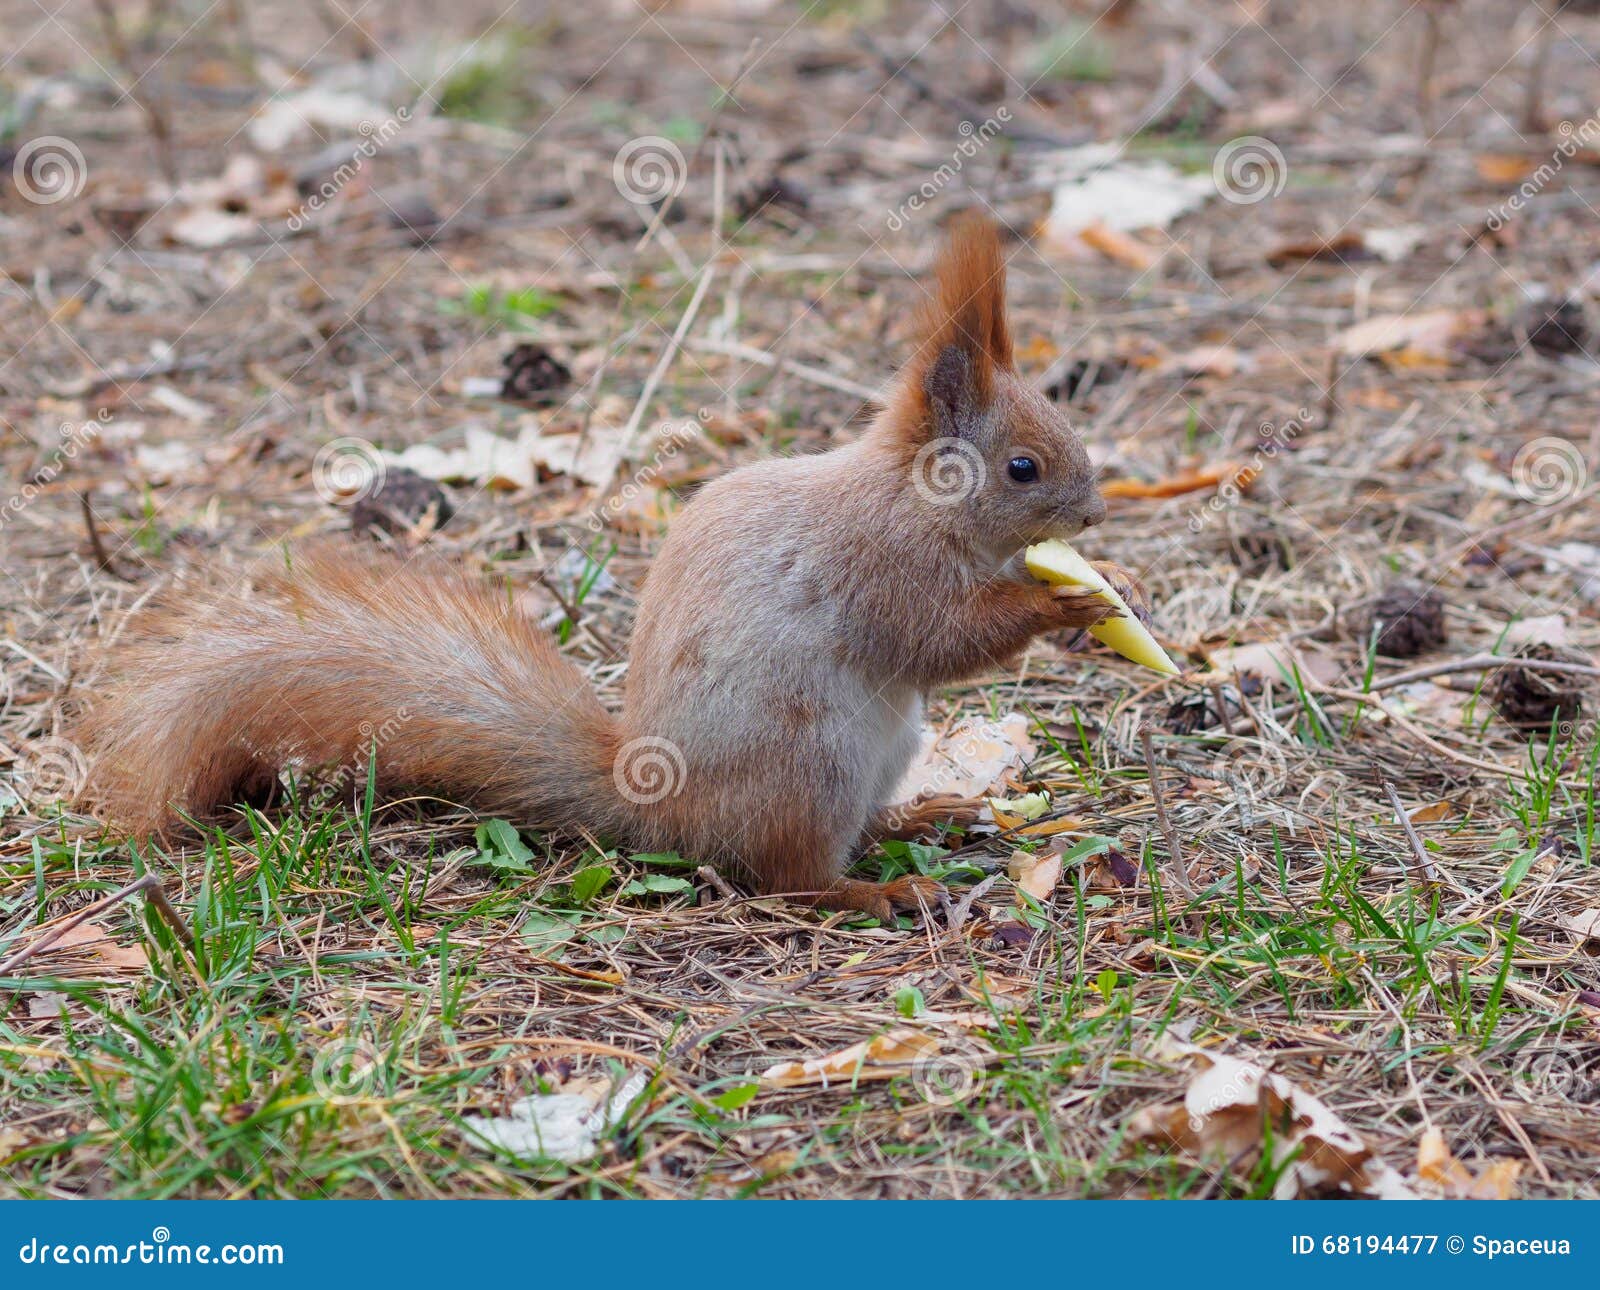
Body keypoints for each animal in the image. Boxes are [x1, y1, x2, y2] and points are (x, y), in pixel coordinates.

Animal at [78, 216, 1146, 921]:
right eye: (1023, 467)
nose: (1095, 514)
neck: (916, 498)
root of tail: (660, 808)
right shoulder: (882, 567)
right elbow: (945, 635)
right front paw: (1061, 603)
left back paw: (922, 817)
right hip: (816, 761)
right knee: (783, 875)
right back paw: (869, 889)